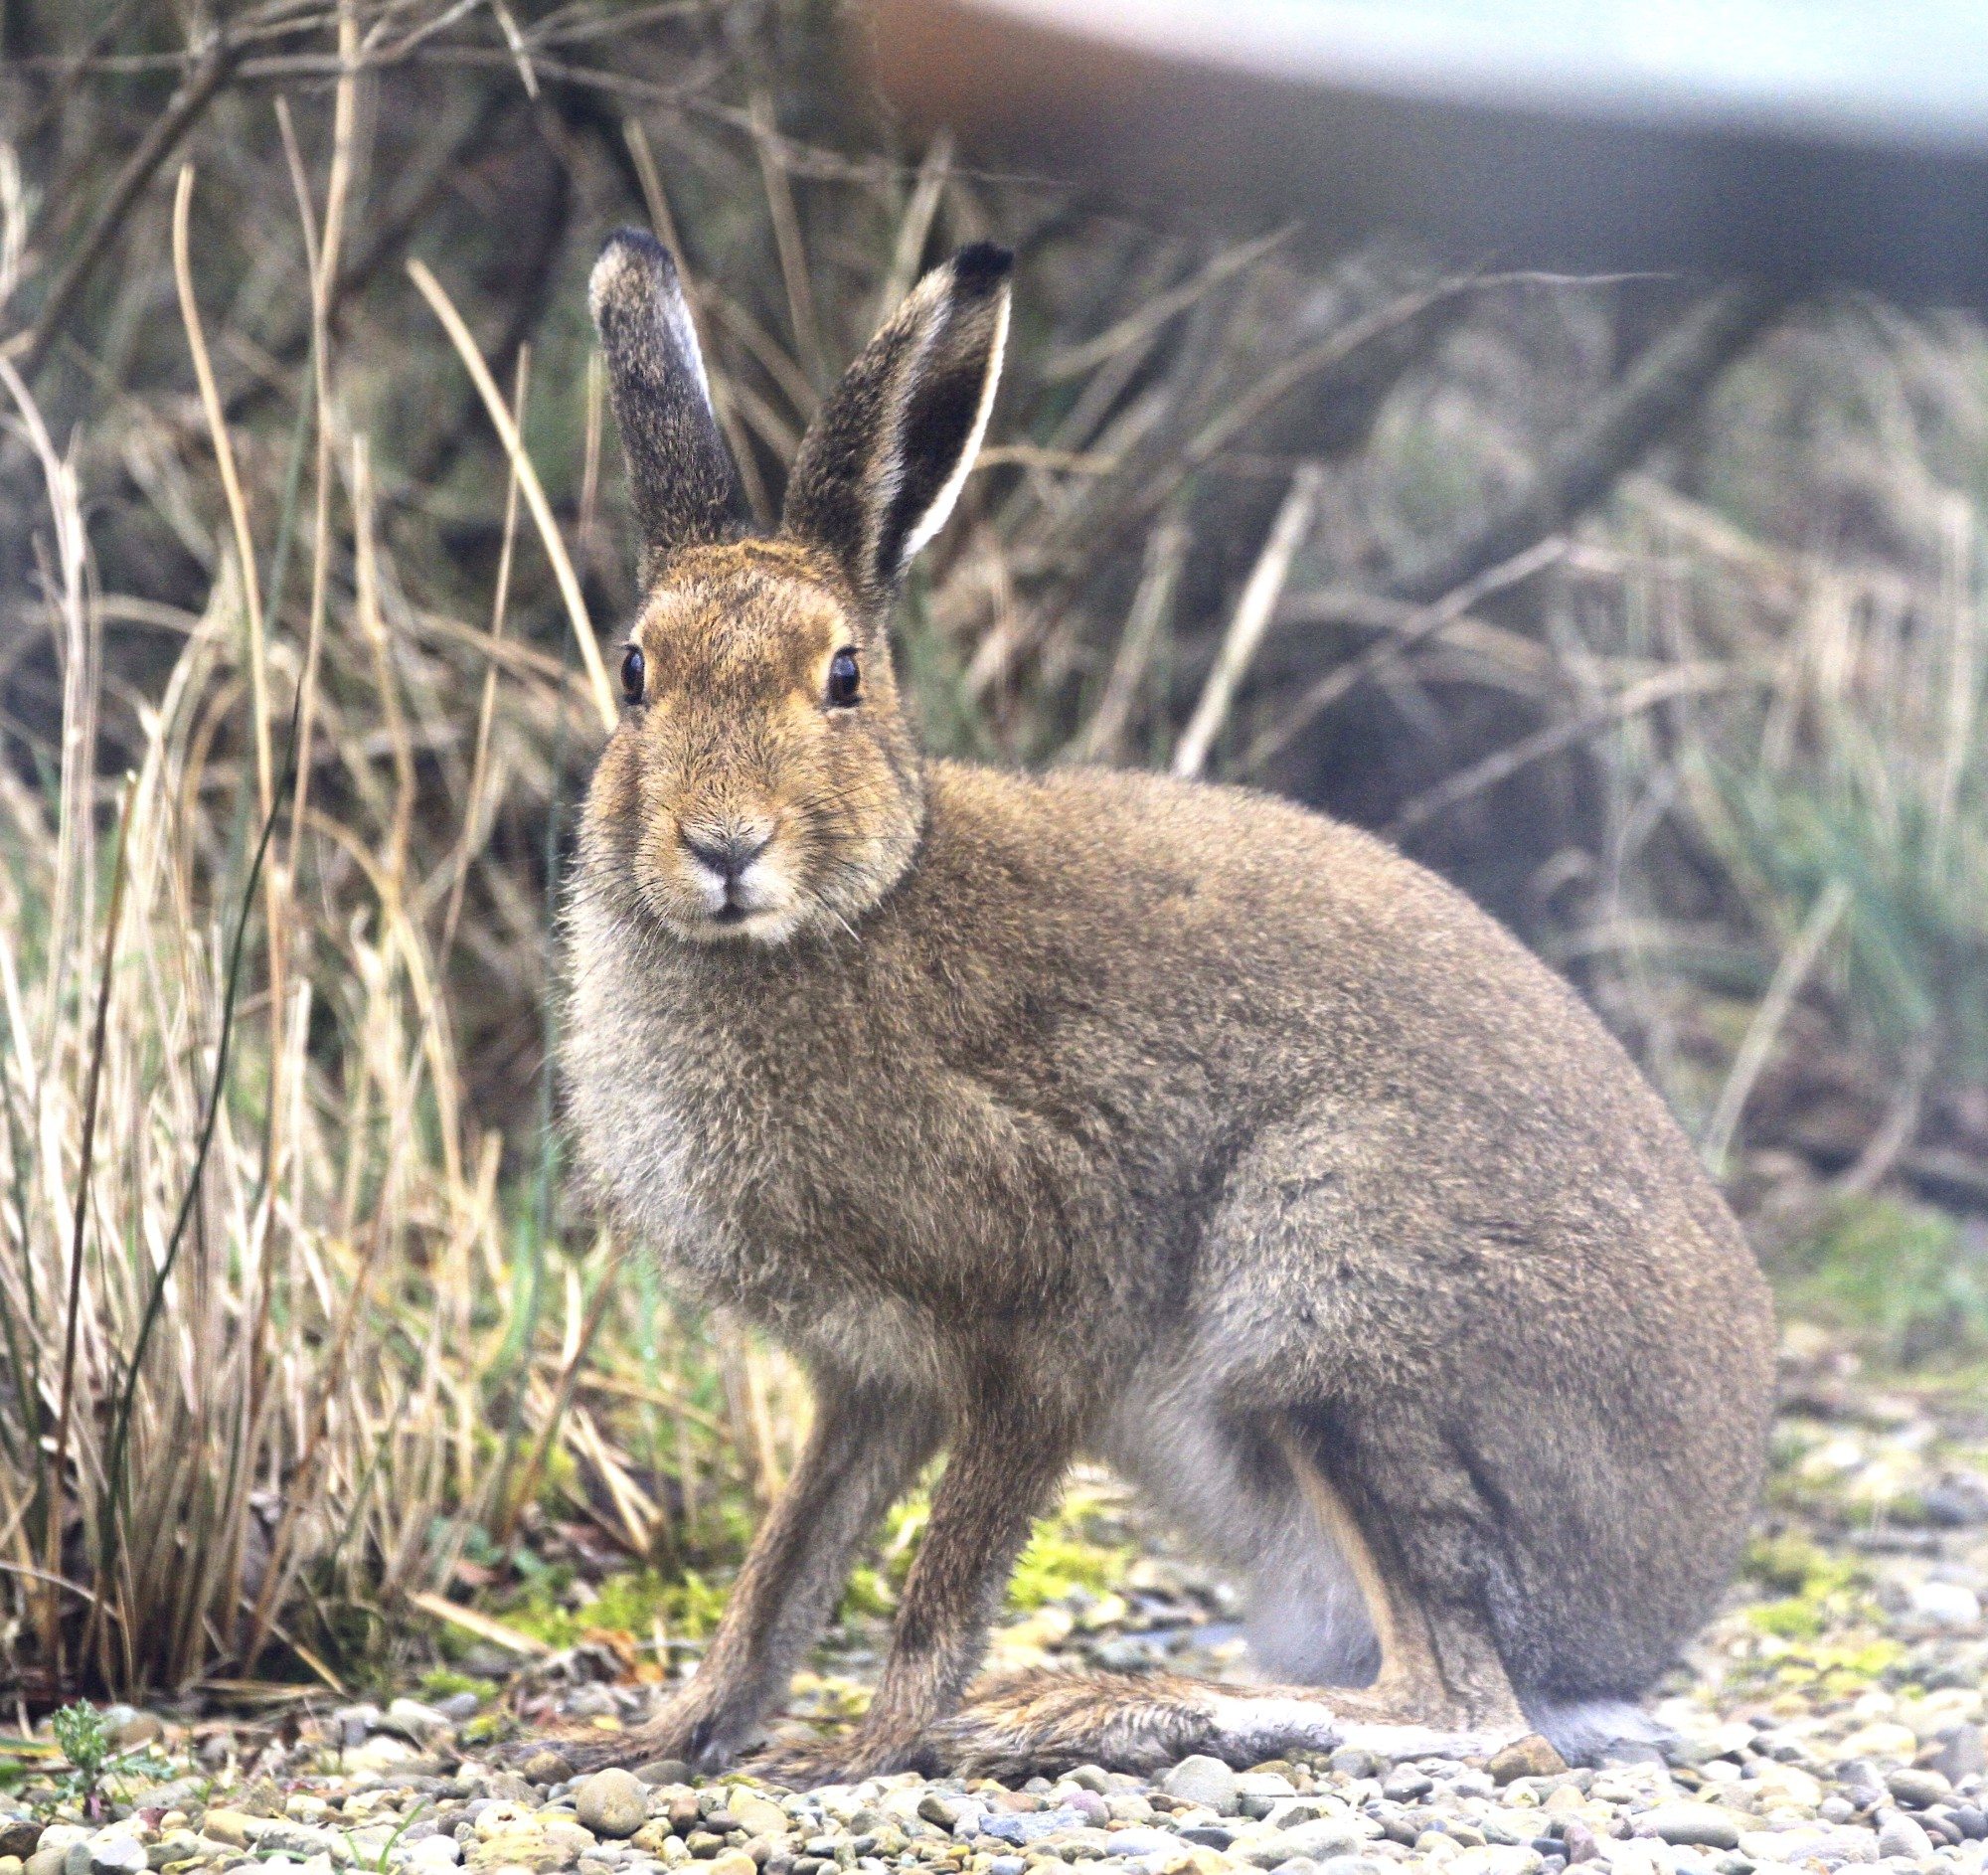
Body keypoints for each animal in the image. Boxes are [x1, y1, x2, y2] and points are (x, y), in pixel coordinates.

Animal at [558, 227, 1777, 1785]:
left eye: (841, 675)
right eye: (635, 672)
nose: (722, 846)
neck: (855, 906)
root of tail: (1667, 1594)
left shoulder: (1050, 1307)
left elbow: (943, 1580)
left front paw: (868, 1745)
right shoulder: (872, 1378)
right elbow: (784, 1570)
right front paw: (661, 1732)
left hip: (1335, 1319)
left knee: (1459, 1703)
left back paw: (1097, 1705)